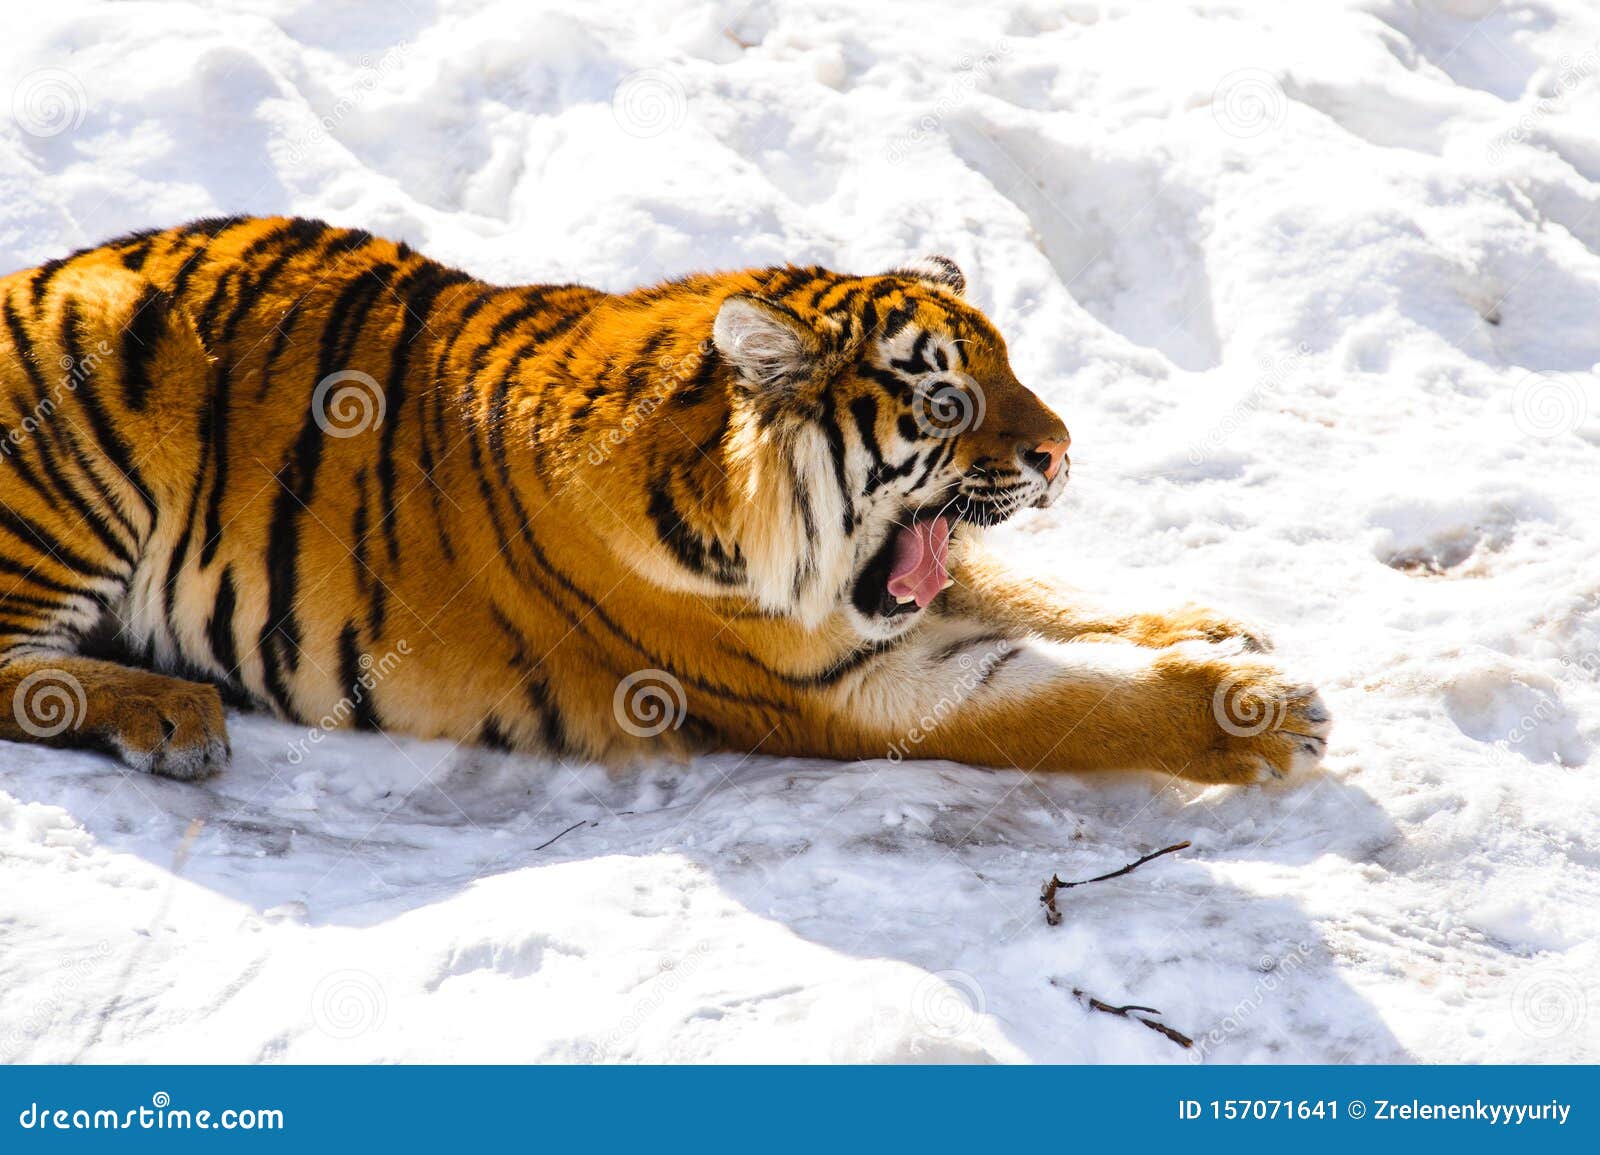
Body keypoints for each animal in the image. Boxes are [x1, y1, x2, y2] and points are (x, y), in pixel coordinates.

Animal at [0, 216, 1328, 785]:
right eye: (950, 399)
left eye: (1013, 367)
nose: (1059, 453)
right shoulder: (843, 691)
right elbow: (1071, 706)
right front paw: (1263, 716)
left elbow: (1041, 594)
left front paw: (1214, 628)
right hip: (80, 423)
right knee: (19, 675)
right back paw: (171, 715)